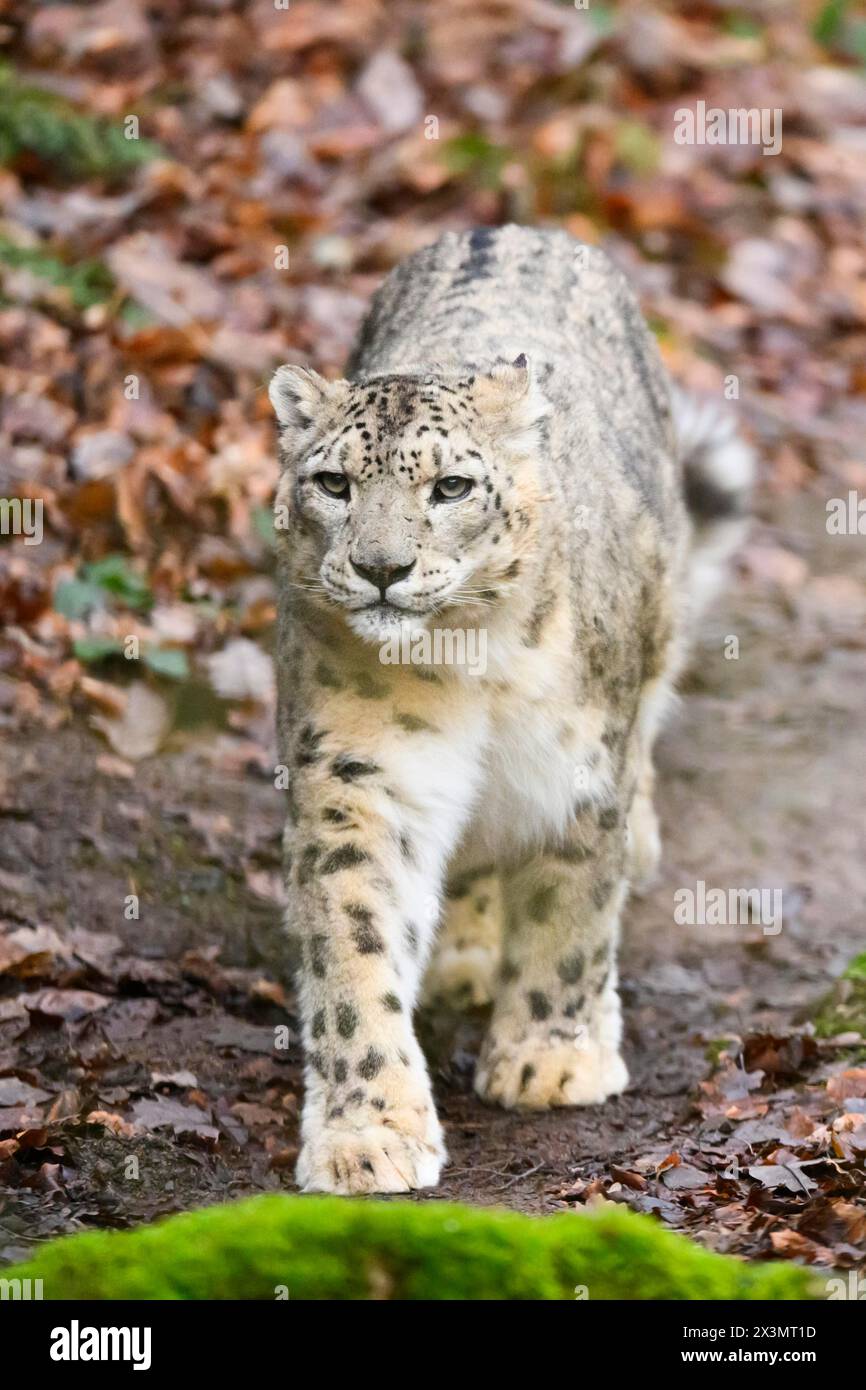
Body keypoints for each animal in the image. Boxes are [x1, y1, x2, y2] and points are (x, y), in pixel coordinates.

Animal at [269, 225, 753, 1195]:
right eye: (333, 483)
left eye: (451, 487)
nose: (380, 568)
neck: (464, 665)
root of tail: (511, 226)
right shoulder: (355, 778)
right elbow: (354, 946)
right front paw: (368, 1134)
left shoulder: (580, 769)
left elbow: (571, 910)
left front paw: (550, 1058)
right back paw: (461, 955)